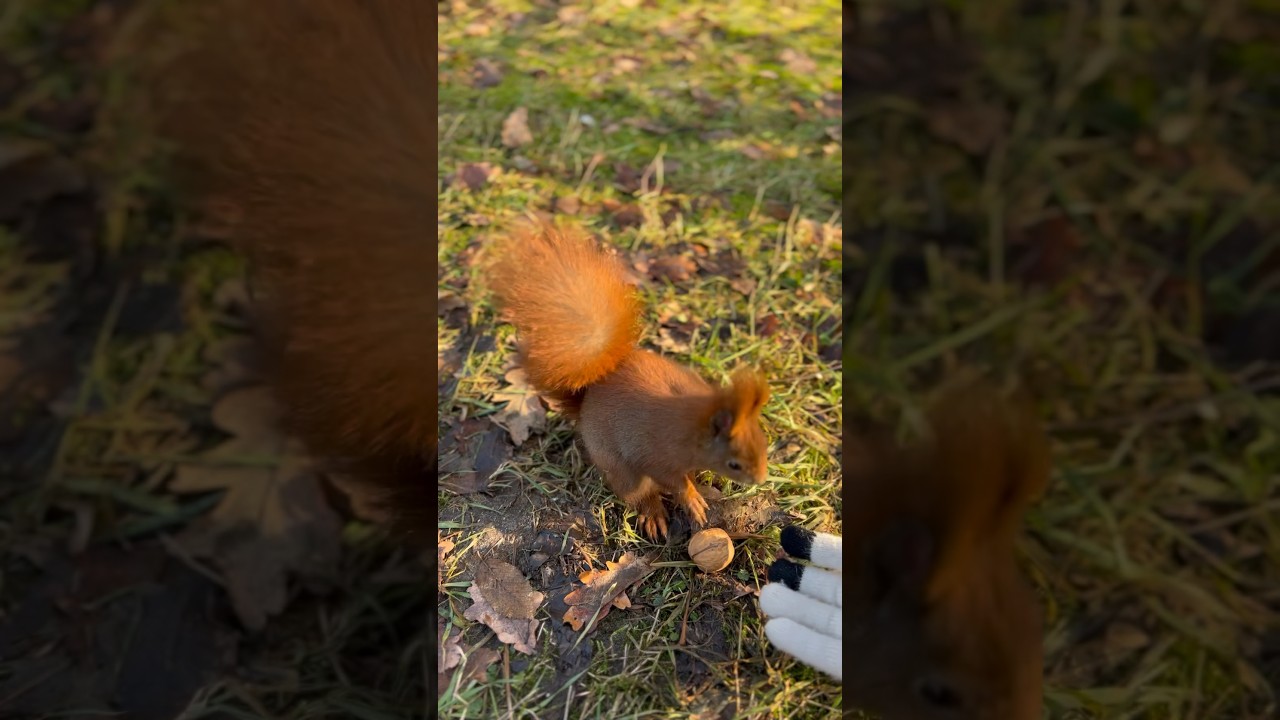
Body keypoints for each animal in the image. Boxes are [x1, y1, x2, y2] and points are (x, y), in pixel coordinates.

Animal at [483, 223, 770, 541]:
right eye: (734, 464)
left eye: (763, 441)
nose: (760, 477)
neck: (693, 426)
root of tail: (588, 398)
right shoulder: (657, 455)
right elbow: (673, 482)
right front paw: (692, 499)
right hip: (623, 471)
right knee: (641, 495)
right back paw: (654, 514)